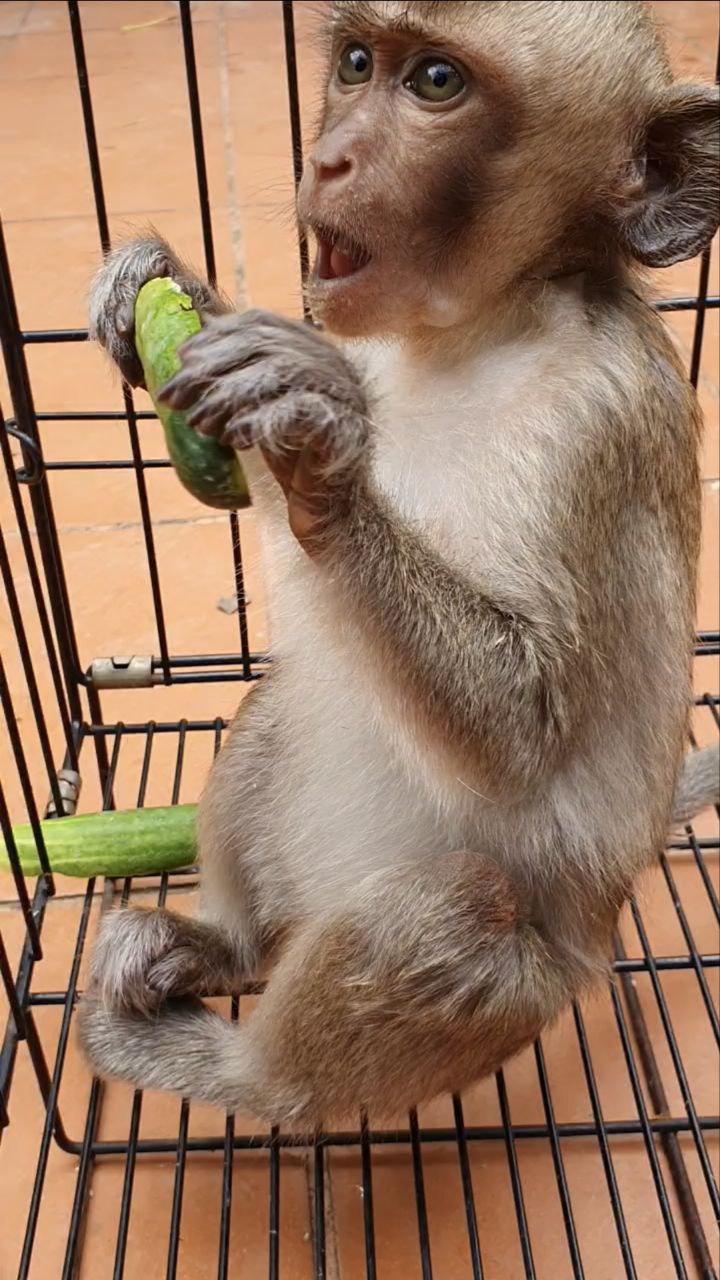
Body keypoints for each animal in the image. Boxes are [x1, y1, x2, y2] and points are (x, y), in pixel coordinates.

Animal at [78, 0, 720, 1128]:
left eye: (434, 83)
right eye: (355, 62)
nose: (327, 157)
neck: (471, 336)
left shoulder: (597, 421)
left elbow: (522, 730)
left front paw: (320, 432)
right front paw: (164, 290)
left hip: (526, 988)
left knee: (460, 913)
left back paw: (237, 1075)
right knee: (281, 707)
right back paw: (224, 946)